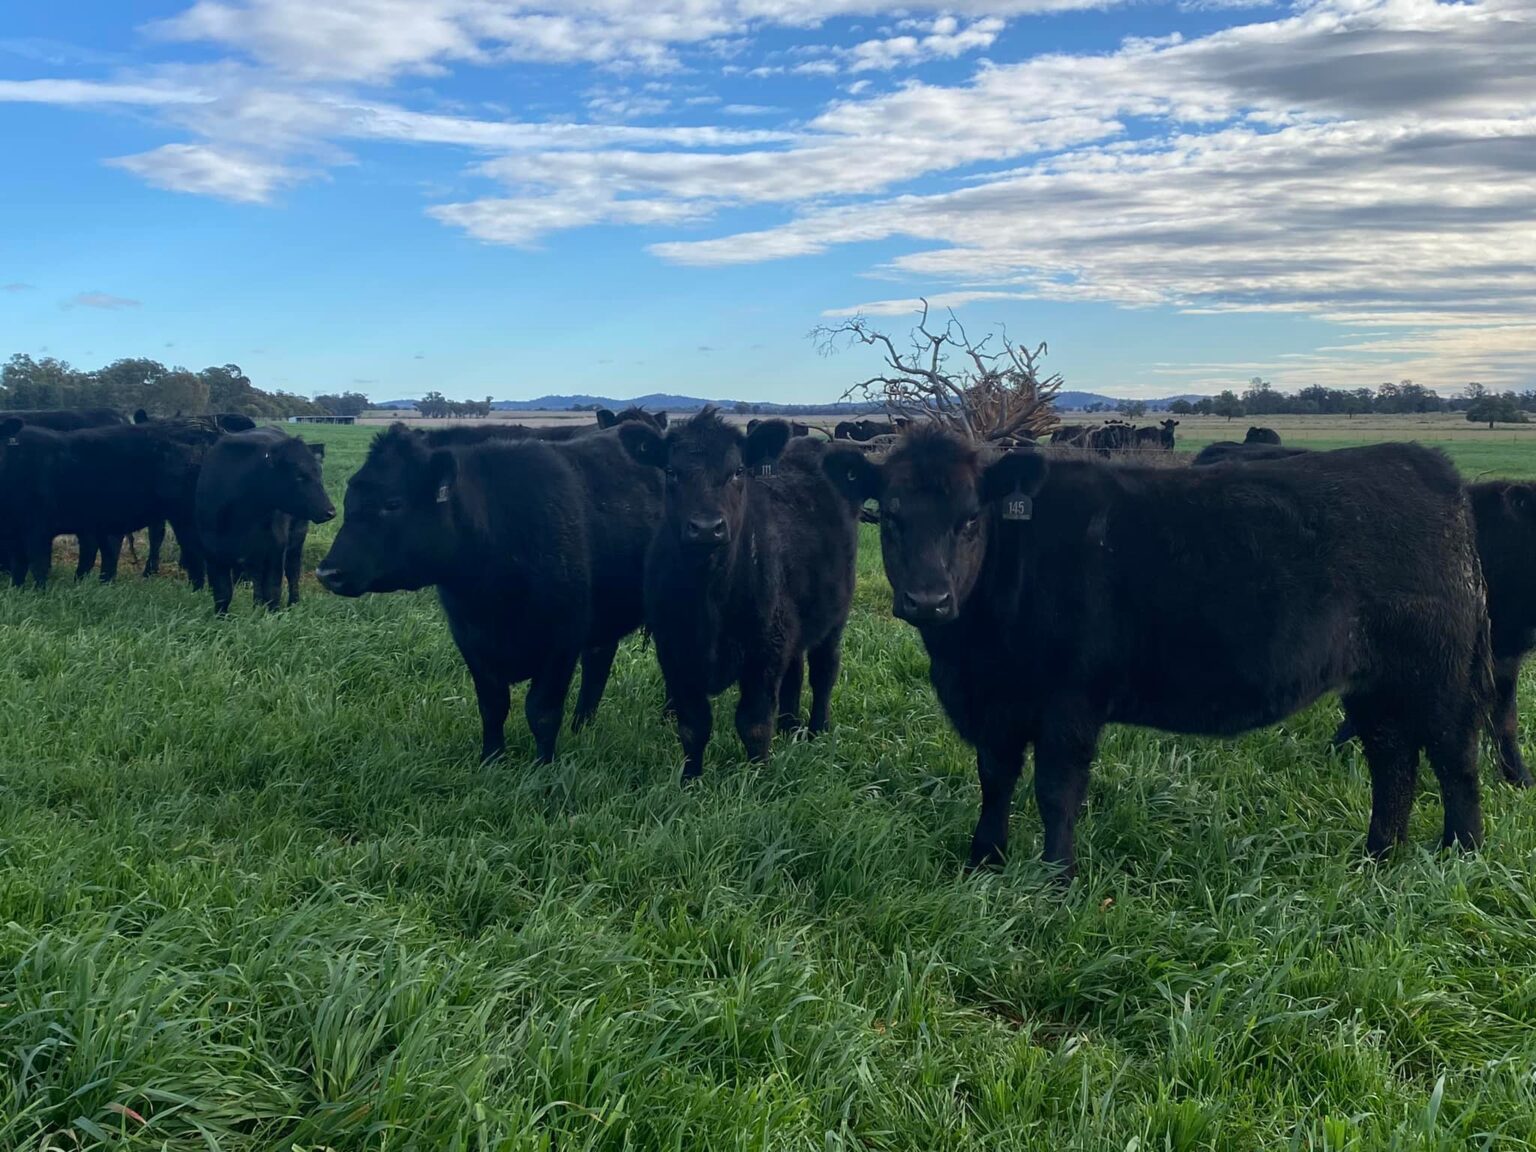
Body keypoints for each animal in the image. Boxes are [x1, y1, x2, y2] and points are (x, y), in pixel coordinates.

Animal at [0, 418, 214, 587]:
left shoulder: (38, 528)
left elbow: (38, 564)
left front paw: (40, 592)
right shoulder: (12, 531)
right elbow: (18, 565)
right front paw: (17, 589)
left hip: (187, 517)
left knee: (196, 555)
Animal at [194, 429, 334, 614]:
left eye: (319, 473)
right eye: (299, 476)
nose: (330, 511)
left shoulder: (275, 550)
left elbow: (273, 590)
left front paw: (273, 615)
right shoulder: (212, 552)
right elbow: (223, 592)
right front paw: (220, 616)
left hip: (296, 540)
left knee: (292, 574)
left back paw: (292, 604)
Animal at [317, 423, 663, 763]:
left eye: (393, 503)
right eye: (348, 501)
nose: (327, 572)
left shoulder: (563, 640)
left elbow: (542, 712)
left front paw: (543, 767)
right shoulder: (470, 639)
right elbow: (493, 706)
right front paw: (491, 759)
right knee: (598, 662)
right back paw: (582, 725)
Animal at [618, 410, 864, 779]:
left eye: (737, 471)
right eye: (671, 472)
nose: (707, 528)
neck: (709, 596)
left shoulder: (764, 650)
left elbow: (754, 723)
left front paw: (759, 776)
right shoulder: (674, 651)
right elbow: (693, 726)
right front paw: (690, 779)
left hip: (834, 615)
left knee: (824, 671)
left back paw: (817, 730)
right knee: (796, 672)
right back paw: (789, 726)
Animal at [825, 427, 1491, 878]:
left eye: (969, 519)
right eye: (890, 518)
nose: (928, 599)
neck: (971, 651)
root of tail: (1425, 465)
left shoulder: (1070, 700)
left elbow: (1055, 791)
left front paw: (1055, 881)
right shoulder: (996, 704)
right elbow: (996, 777)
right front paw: (984, 860)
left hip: (1438, 673)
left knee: (1454, 758)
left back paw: (1460, 855)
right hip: (1375, 681)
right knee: (1393, 760)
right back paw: (1379, 856)